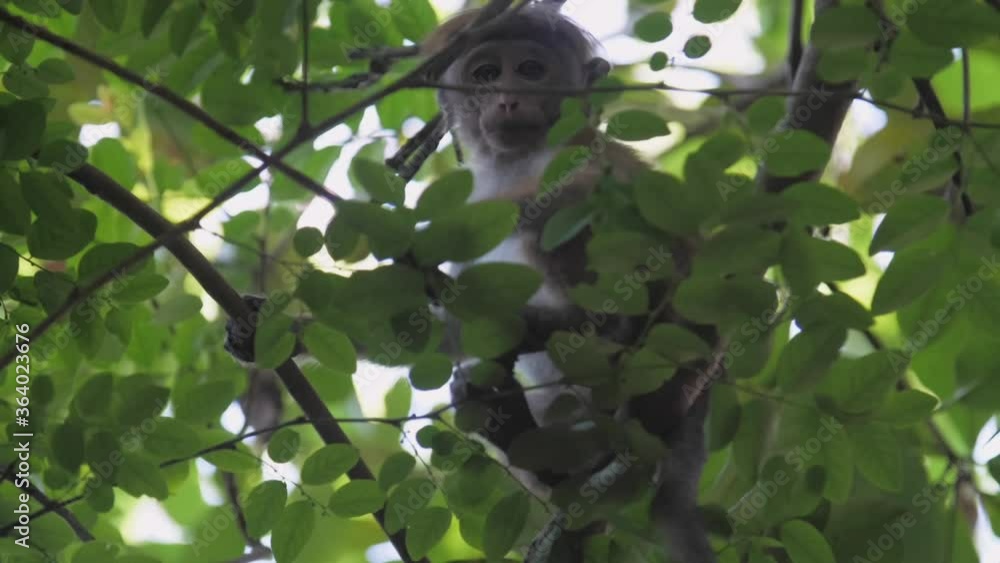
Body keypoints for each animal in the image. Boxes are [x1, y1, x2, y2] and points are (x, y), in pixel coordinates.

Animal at [225, 4, 716, 562]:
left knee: (577, 233)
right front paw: (272, 327)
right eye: (485, 74)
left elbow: (652, 255)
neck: (515, 165)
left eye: (531, 70)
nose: (507, 96)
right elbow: (432, 327)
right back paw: (523, 434)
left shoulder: (588, 157)